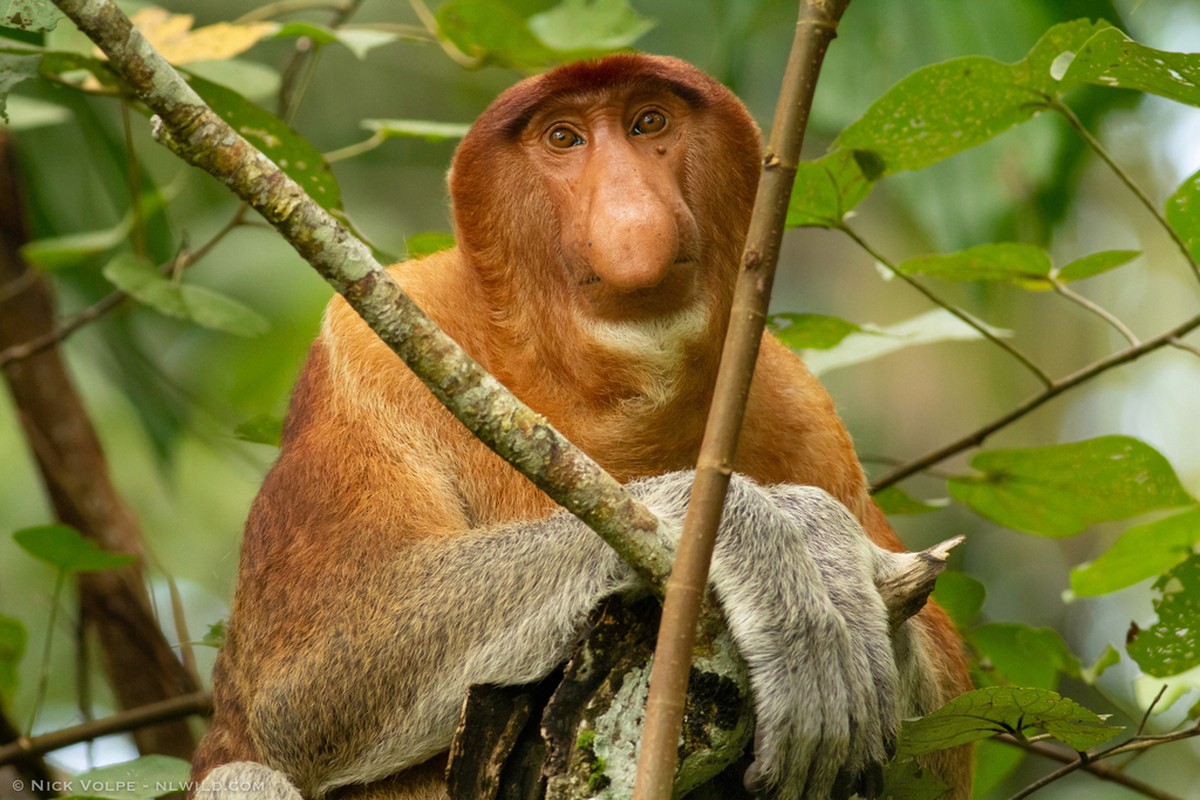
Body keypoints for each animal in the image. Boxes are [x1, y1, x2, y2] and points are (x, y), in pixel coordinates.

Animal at [191, 55, 971, 800]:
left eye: (649, 122)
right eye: (563, 138)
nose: (633, 216)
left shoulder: (802, 405)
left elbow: (943, 753)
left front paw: (836, 560)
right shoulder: (365, 351)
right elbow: (308, 673)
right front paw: (764, 531)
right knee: (245, 772)